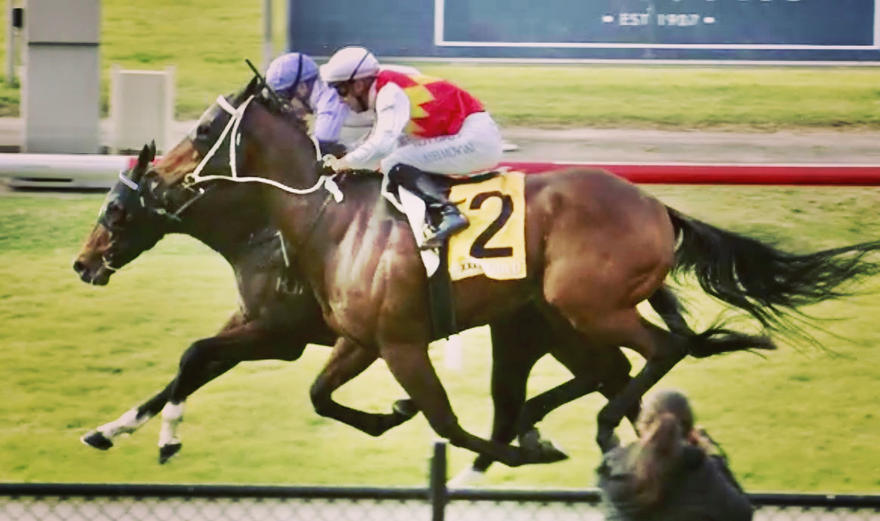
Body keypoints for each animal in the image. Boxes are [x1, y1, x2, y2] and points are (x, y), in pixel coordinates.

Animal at [74, 141, 679, 471]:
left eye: (116, 210)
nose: (83, 263)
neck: (267, 229)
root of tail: (656, 209)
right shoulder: (263, 326)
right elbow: (189, 366)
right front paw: (109, 430)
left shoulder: (281, 334)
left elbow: (196, 357)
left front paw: (164, 437)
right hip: (560, 325)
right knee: (614, 374)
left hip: (570, 319)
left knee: (627, 368)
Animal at [131, 74, 880, 467]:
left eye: (205, 130)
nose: (155, 179)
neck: (331, 219)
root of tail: (657, 206)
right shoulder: (360, 339)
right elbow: (322, 395)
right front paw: (393, 415)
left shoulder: (402, 343)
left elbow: (445, 421)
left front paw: (506, 450)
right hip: (566, 313)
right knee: (626, 364)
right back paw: (564, 420)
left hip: (585, 303)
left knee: (657, 351)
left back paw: (597, 424)